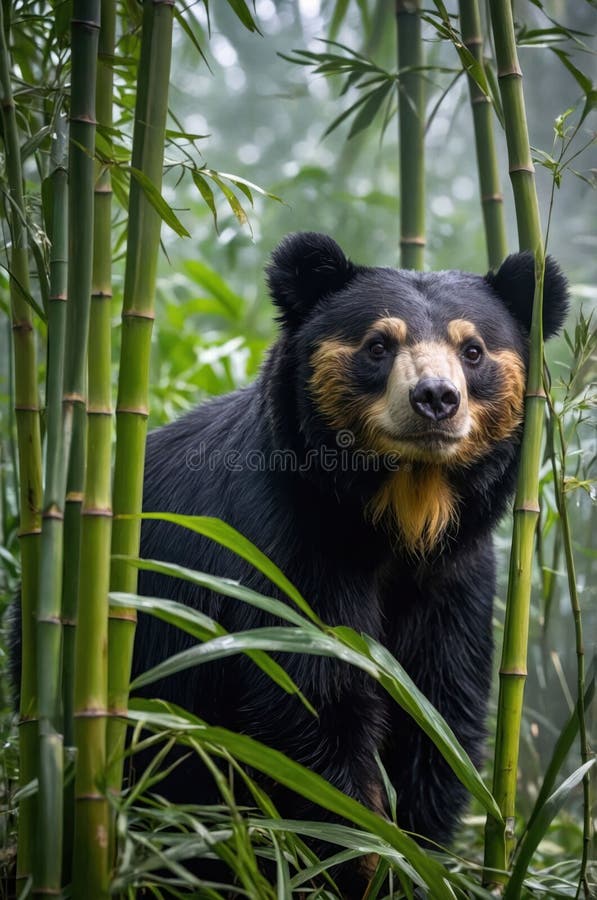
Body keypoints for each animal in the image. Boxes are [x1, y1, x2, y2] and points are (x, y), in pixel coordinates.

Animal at [133, 232, 568, 885]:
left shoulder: (455, 577)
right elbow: (315, 698)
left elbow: (437, 711)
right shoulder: (286, 548)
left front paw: (422, 861)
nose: (436, 399)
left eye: (473, 350)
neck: (399, 517)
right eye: (379, 344)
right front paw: (363, 861)